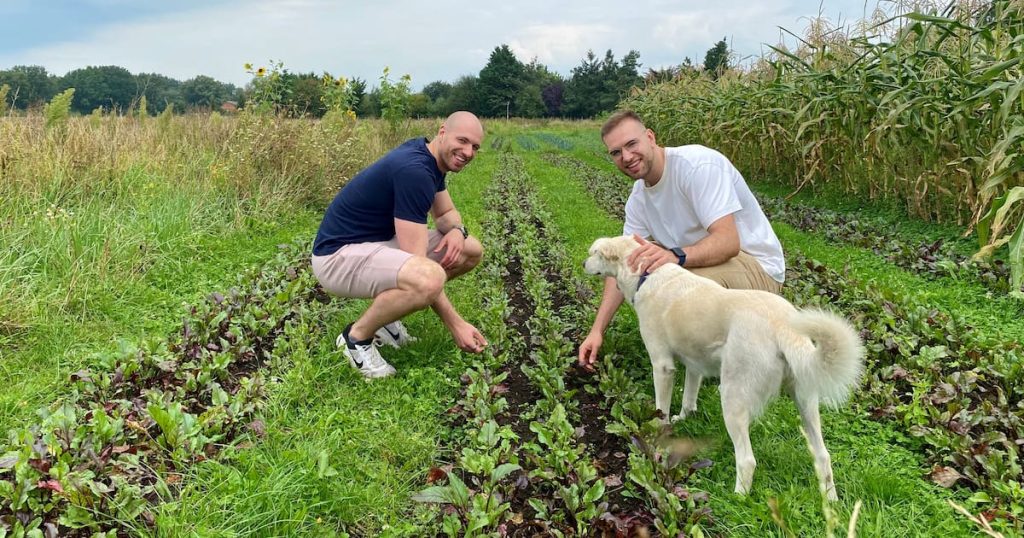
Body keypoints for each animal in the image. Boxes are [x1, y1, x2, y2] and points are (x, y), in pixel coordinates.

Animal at [585, 235, 864, 500]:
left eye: (594, 253)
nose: (583, 264)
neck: (646, 275)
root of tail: (783, 324)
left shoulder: (662, 366)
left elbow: (660, 409)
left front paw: (657, 436)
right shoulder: (694, 364)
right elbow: (688, 398)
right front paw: (683, 418)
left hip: (733, 396)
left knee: (747, 459)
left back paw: (738, 497)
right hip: (806, 401)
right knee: (823, 455)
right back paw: (831, 502)